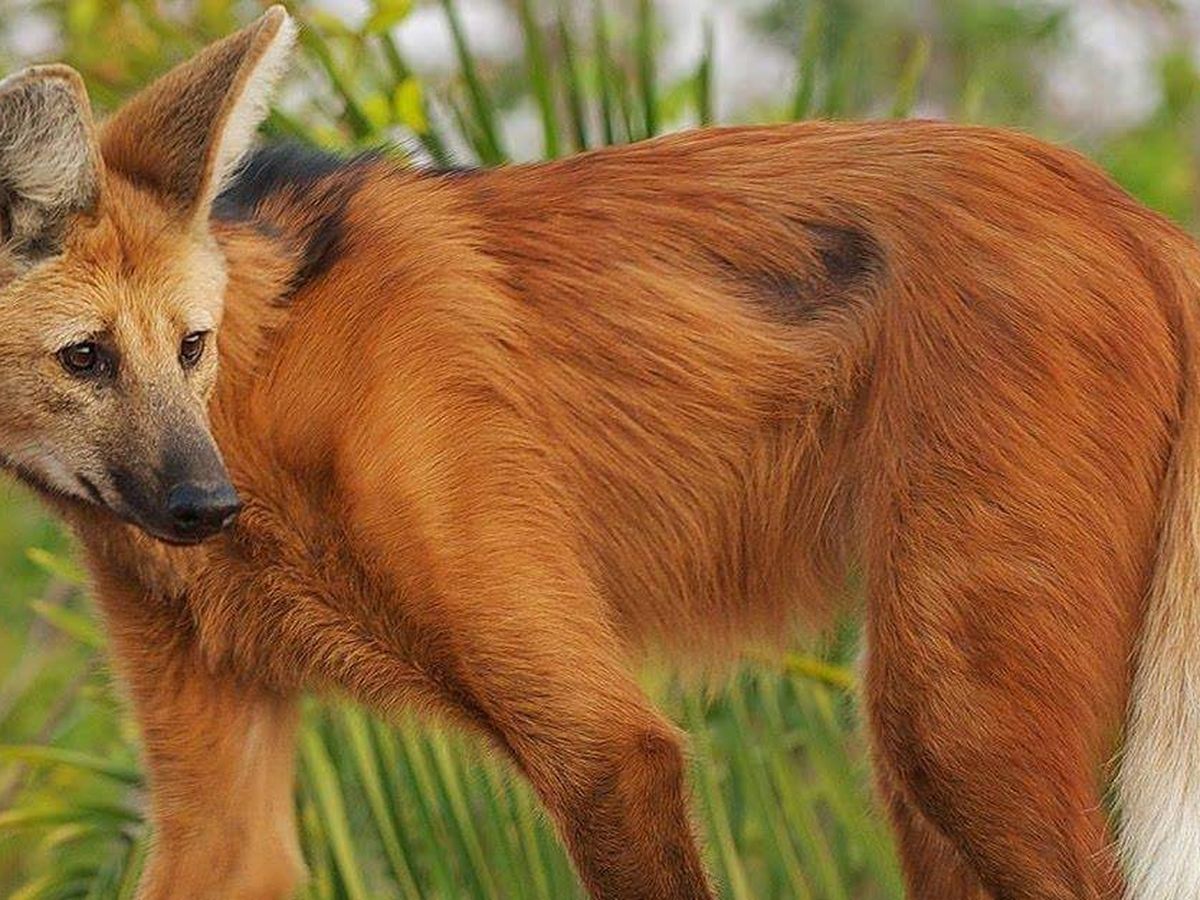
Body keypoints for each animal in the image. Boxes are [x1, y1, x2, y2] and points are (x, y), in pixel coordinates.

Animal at [2, 8, 1197, 898]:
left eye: (187, 345)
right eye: (86, 358)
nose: (206, 508)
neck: (257, 402)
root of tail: (1140, 216)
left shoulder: (606, 751)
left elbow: (614, 761)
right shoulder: (214, 766)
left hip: (957, 721)